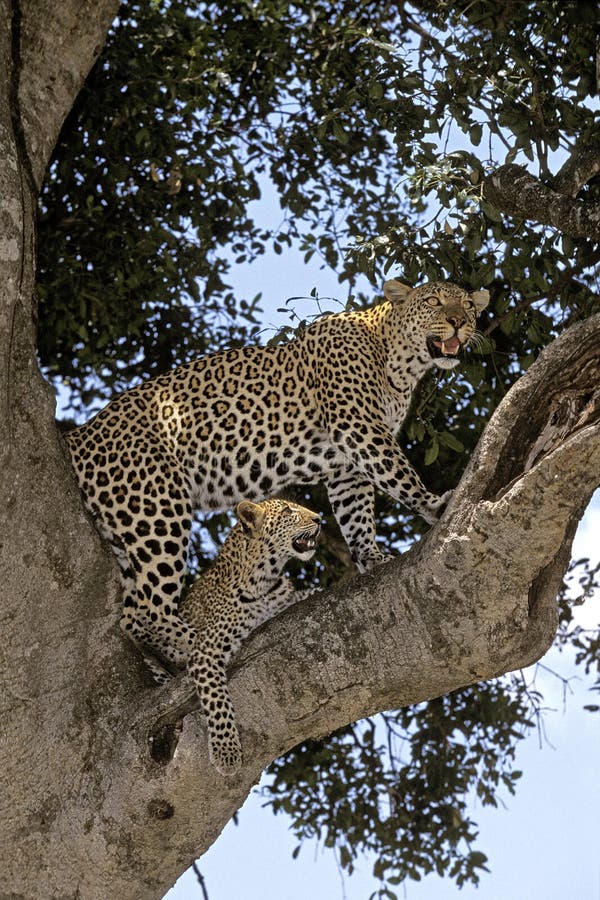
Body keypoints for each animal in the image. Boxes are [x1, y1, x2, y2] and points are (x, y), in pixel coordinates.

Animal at [65, 278, 489, 673]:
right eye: (434, 301)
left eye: (468, 306)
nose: (459, 321)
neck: (399, 362)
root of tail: (78, 435)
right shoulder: (359, 428)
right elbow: (397, 472)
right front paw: (432, 503)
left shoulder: (346, 463)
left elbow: (355, 513)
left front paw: (371, 555)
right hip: (156, 509)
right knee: (146, 610)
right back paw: (193, 643)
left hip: (126, 528)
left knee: (130, 612)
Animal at [179, 497, 321, 776]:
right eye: (289, 511)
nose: (320, 519)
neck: (264, 579)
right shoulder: (205, 650)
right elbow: (218, 701)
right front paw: (227, 752)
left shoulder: (284, 602)